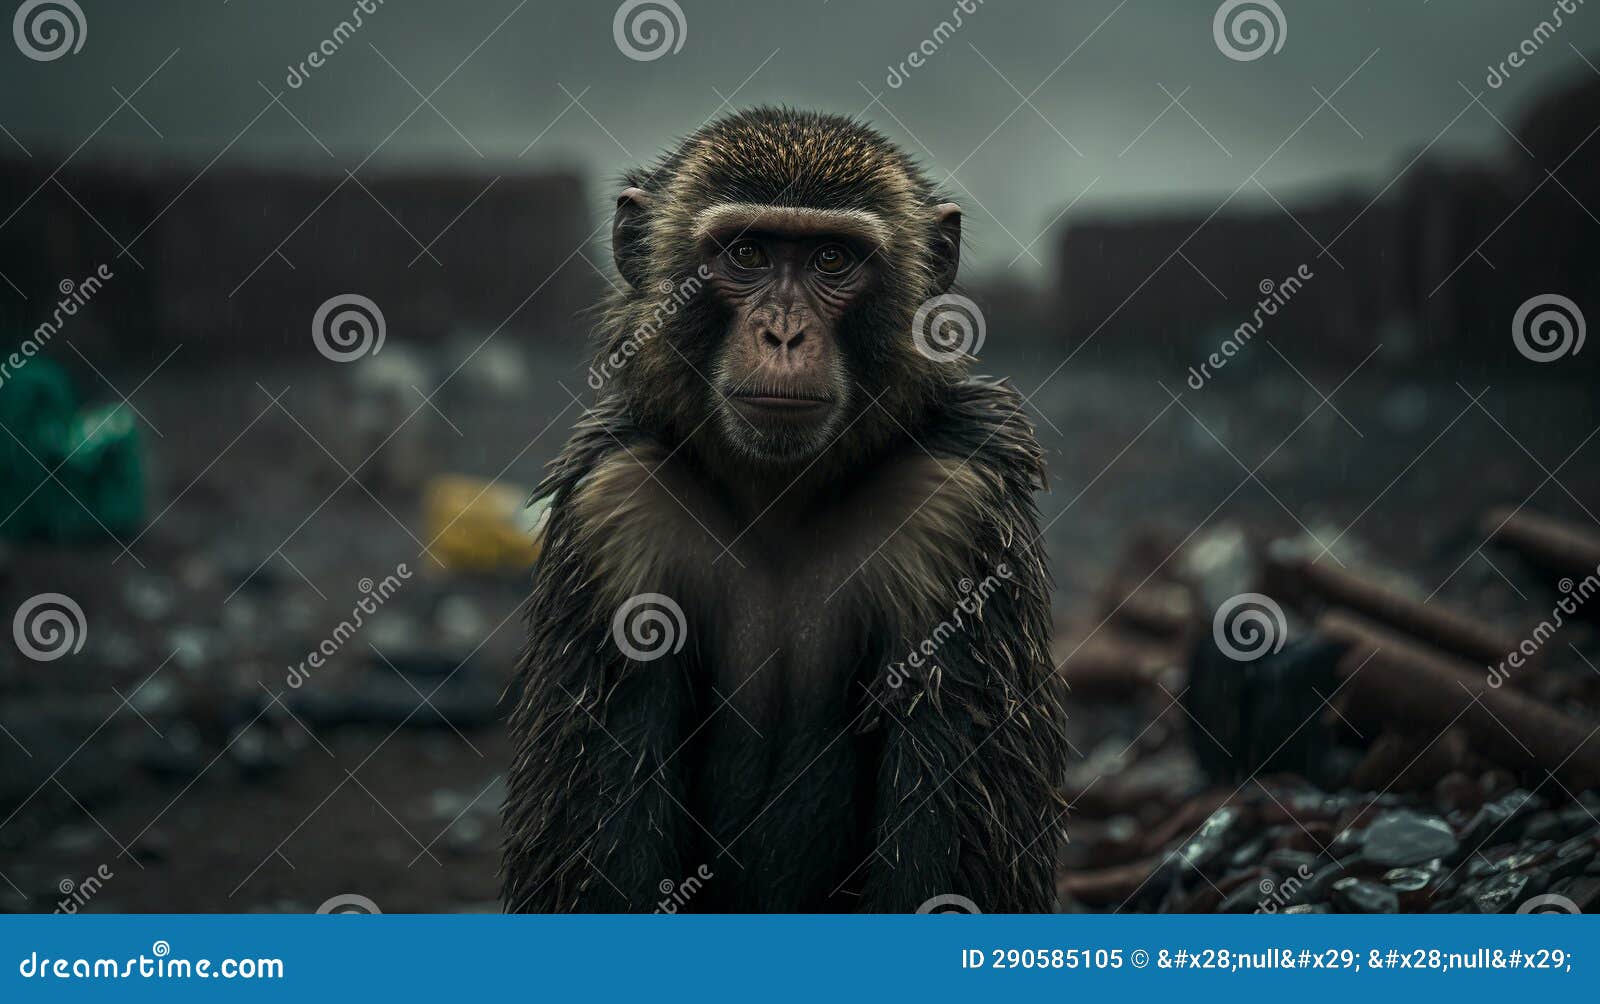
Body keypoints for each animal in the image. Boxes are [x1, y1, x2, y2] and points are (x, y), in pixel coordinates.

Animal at [501, 108, 1069, 913]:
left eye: (832, 259)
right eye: (747, 253)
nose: (783, 331)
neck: (781, 498)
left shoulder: (957, 515)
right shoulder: (616, 510)